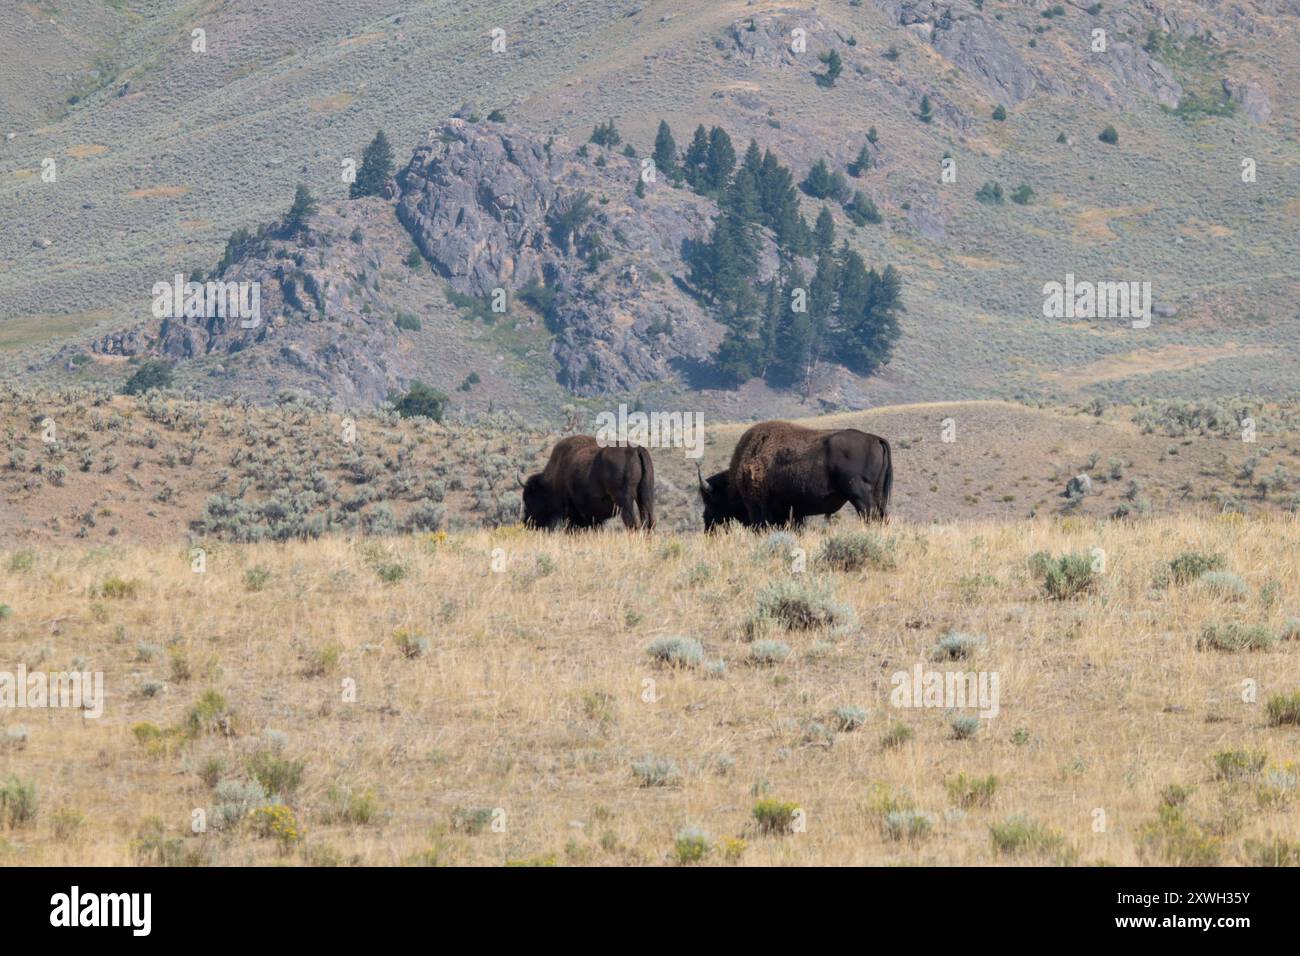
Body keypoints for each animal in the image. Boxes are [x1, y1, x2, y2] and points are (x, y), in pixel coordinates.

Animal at [521, 435, 655, 530]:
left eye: (529, 498)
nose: (527, 523)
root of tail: (637, 449)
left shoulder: (571, 512)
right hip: (645, 497)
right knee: (649, 522)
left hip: (625, 501)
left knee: (633, 524)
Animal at [697, 421, 891, 530]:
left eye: (710, 500)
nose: (706, 524)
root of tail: (875, 439)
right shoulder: (793, 513)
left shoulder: (759, 510)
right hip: (879, 496)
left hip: (860, 497)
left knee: (870, 516)